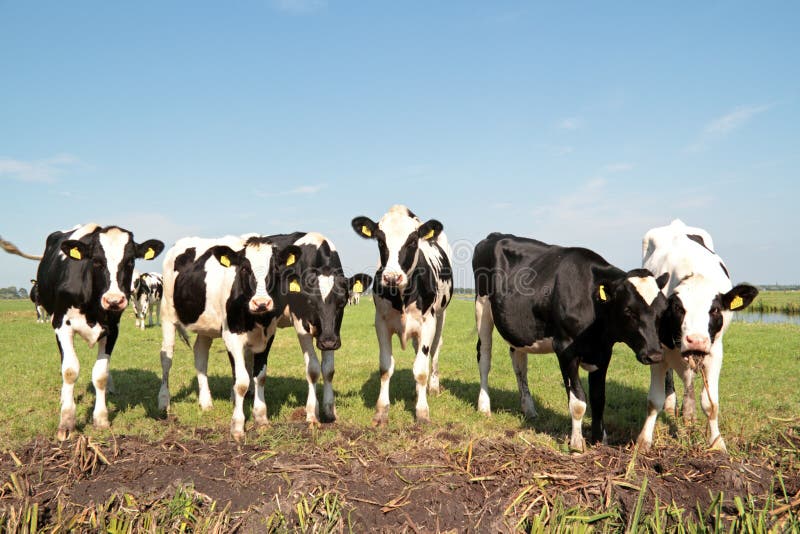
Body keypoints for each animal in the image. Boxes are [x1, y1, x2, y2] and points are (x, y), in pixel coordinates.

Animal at [1, 224, 164, 440]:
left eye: (130, 260)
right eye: (96, 260)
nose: (114, 300)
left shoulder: (113, 330)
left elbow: (100, 374)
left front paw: (101, 418)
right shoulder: (62, 325)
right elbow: (70, 371)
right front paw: (66, 422)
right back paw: (64, 397)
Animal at [158, 235, 300, 440]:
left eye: (275, 268)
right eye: (244, 268)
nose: (261, 302)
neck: (257, 319)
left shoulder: (268, 336)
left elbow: (260, 377)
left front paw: (261, 418)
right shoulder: (232, 336)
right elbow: (241, 382)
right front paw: (238, 427)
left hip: (205, 325)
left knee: (200, 355)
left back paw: (206, 402)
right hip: (167, 314)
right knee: (166, 357)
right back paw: (163, 402)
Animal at [351, 205, 453, 425]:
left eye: (413, 241)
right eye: (380, 241)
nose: (391, 277)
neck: (402, 296)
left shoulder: (428, 322)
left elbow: (421, 371)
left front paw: (422, 412)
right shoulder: (381, 323)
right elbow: (385, 367)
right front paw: (381, 411)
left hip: (441, 316)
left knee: (434, 349)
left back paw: (433, 387)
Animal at [472, 233, 669, 452]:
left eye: (663, 310)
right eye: (629, 310)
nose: (655, 354)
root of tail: (496, 235)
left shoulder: (603, 352)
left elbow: (598, 398)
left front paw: (600, 439)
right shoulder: (565, 349)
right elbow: (578, 401)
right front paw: (576, 445)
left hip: (518, 328)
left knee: (519, 365)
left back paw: (529, 410)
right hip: (482, 307)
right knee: (484, 358)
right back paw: (484, 407)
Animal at [636, 220, 758, 453]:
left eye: (716, 309)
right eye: (677, 308)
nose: (697, 341)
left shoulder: (715, 352)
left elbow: (711, 404)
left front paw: (717, 442)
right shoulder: (658, 351)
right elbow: (653, 401)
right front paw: (643, 440)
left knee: (689, 379)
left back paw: (688, 412)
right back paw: (673, 406)